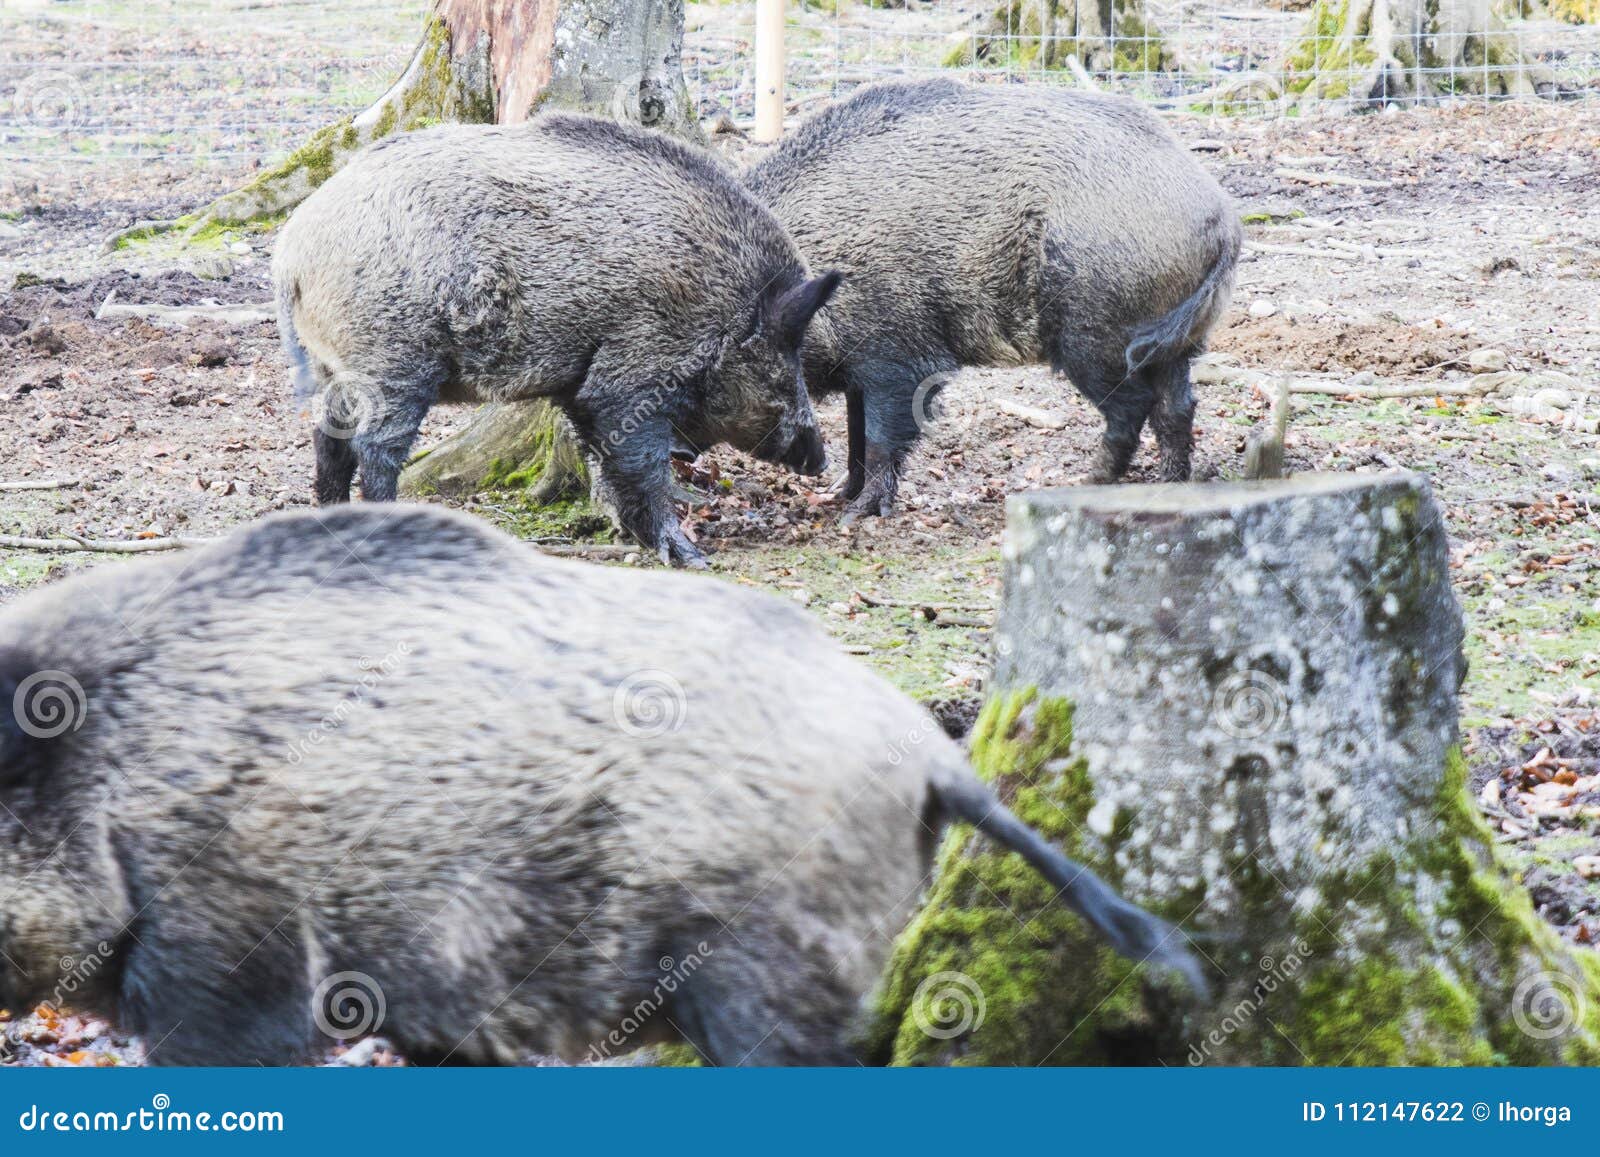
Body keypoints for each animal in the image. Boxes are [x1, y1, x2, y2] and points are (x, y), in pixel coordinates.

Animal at [273, 114, 841, 567]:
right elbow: (643, 463)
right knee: (374, 448)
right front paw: (690, 557)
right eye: (786, 351)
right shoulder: (634, 370)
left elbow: (608, 459)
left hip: (337, 365)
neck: (721, 304)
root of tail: (292, 250)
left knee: (329, 438)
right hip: (392, 358)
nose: (820, 458)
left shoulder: (583, 387)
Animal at [744, 79, 1241, 516]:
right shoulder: (861, 369)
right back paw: (1168, 486)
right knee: (1178, 407)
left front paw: (857, 513)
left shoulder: (898, 354)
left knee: (1133, 408)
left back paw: (1089, 482)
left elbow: (882, 436)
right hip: (1171, 340)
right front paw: (840, 495)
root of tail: (1225, 218)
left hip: (1094, 335)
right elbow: (856, 435)